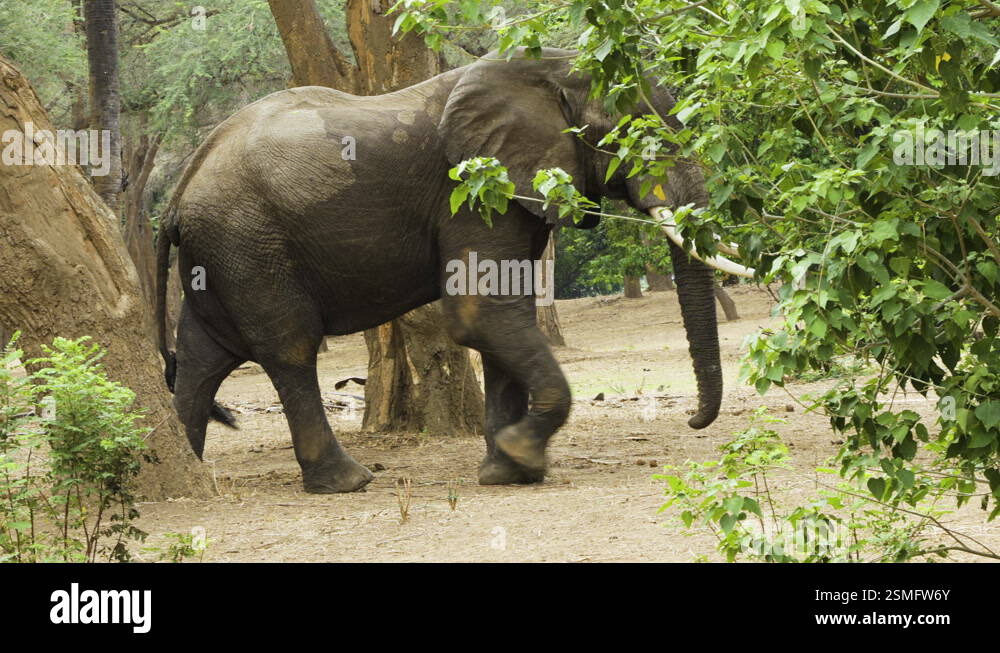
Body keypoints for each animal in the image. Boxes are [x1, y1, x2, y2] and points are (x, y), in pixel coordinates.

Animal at [156, 47, 743, 494]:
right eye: (631, 134)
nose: (692, 419)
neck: (549, 68)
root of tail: (179, 194)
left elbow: (506, 312)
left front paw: (507, 472)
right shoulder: (475, 187)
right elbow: (483, 314)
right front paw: (520, 454)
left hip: (222, 254)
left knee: (203, 358)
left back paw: (190, 468)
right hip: (248, 241)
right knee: (289, 348)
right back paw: (348, 482)